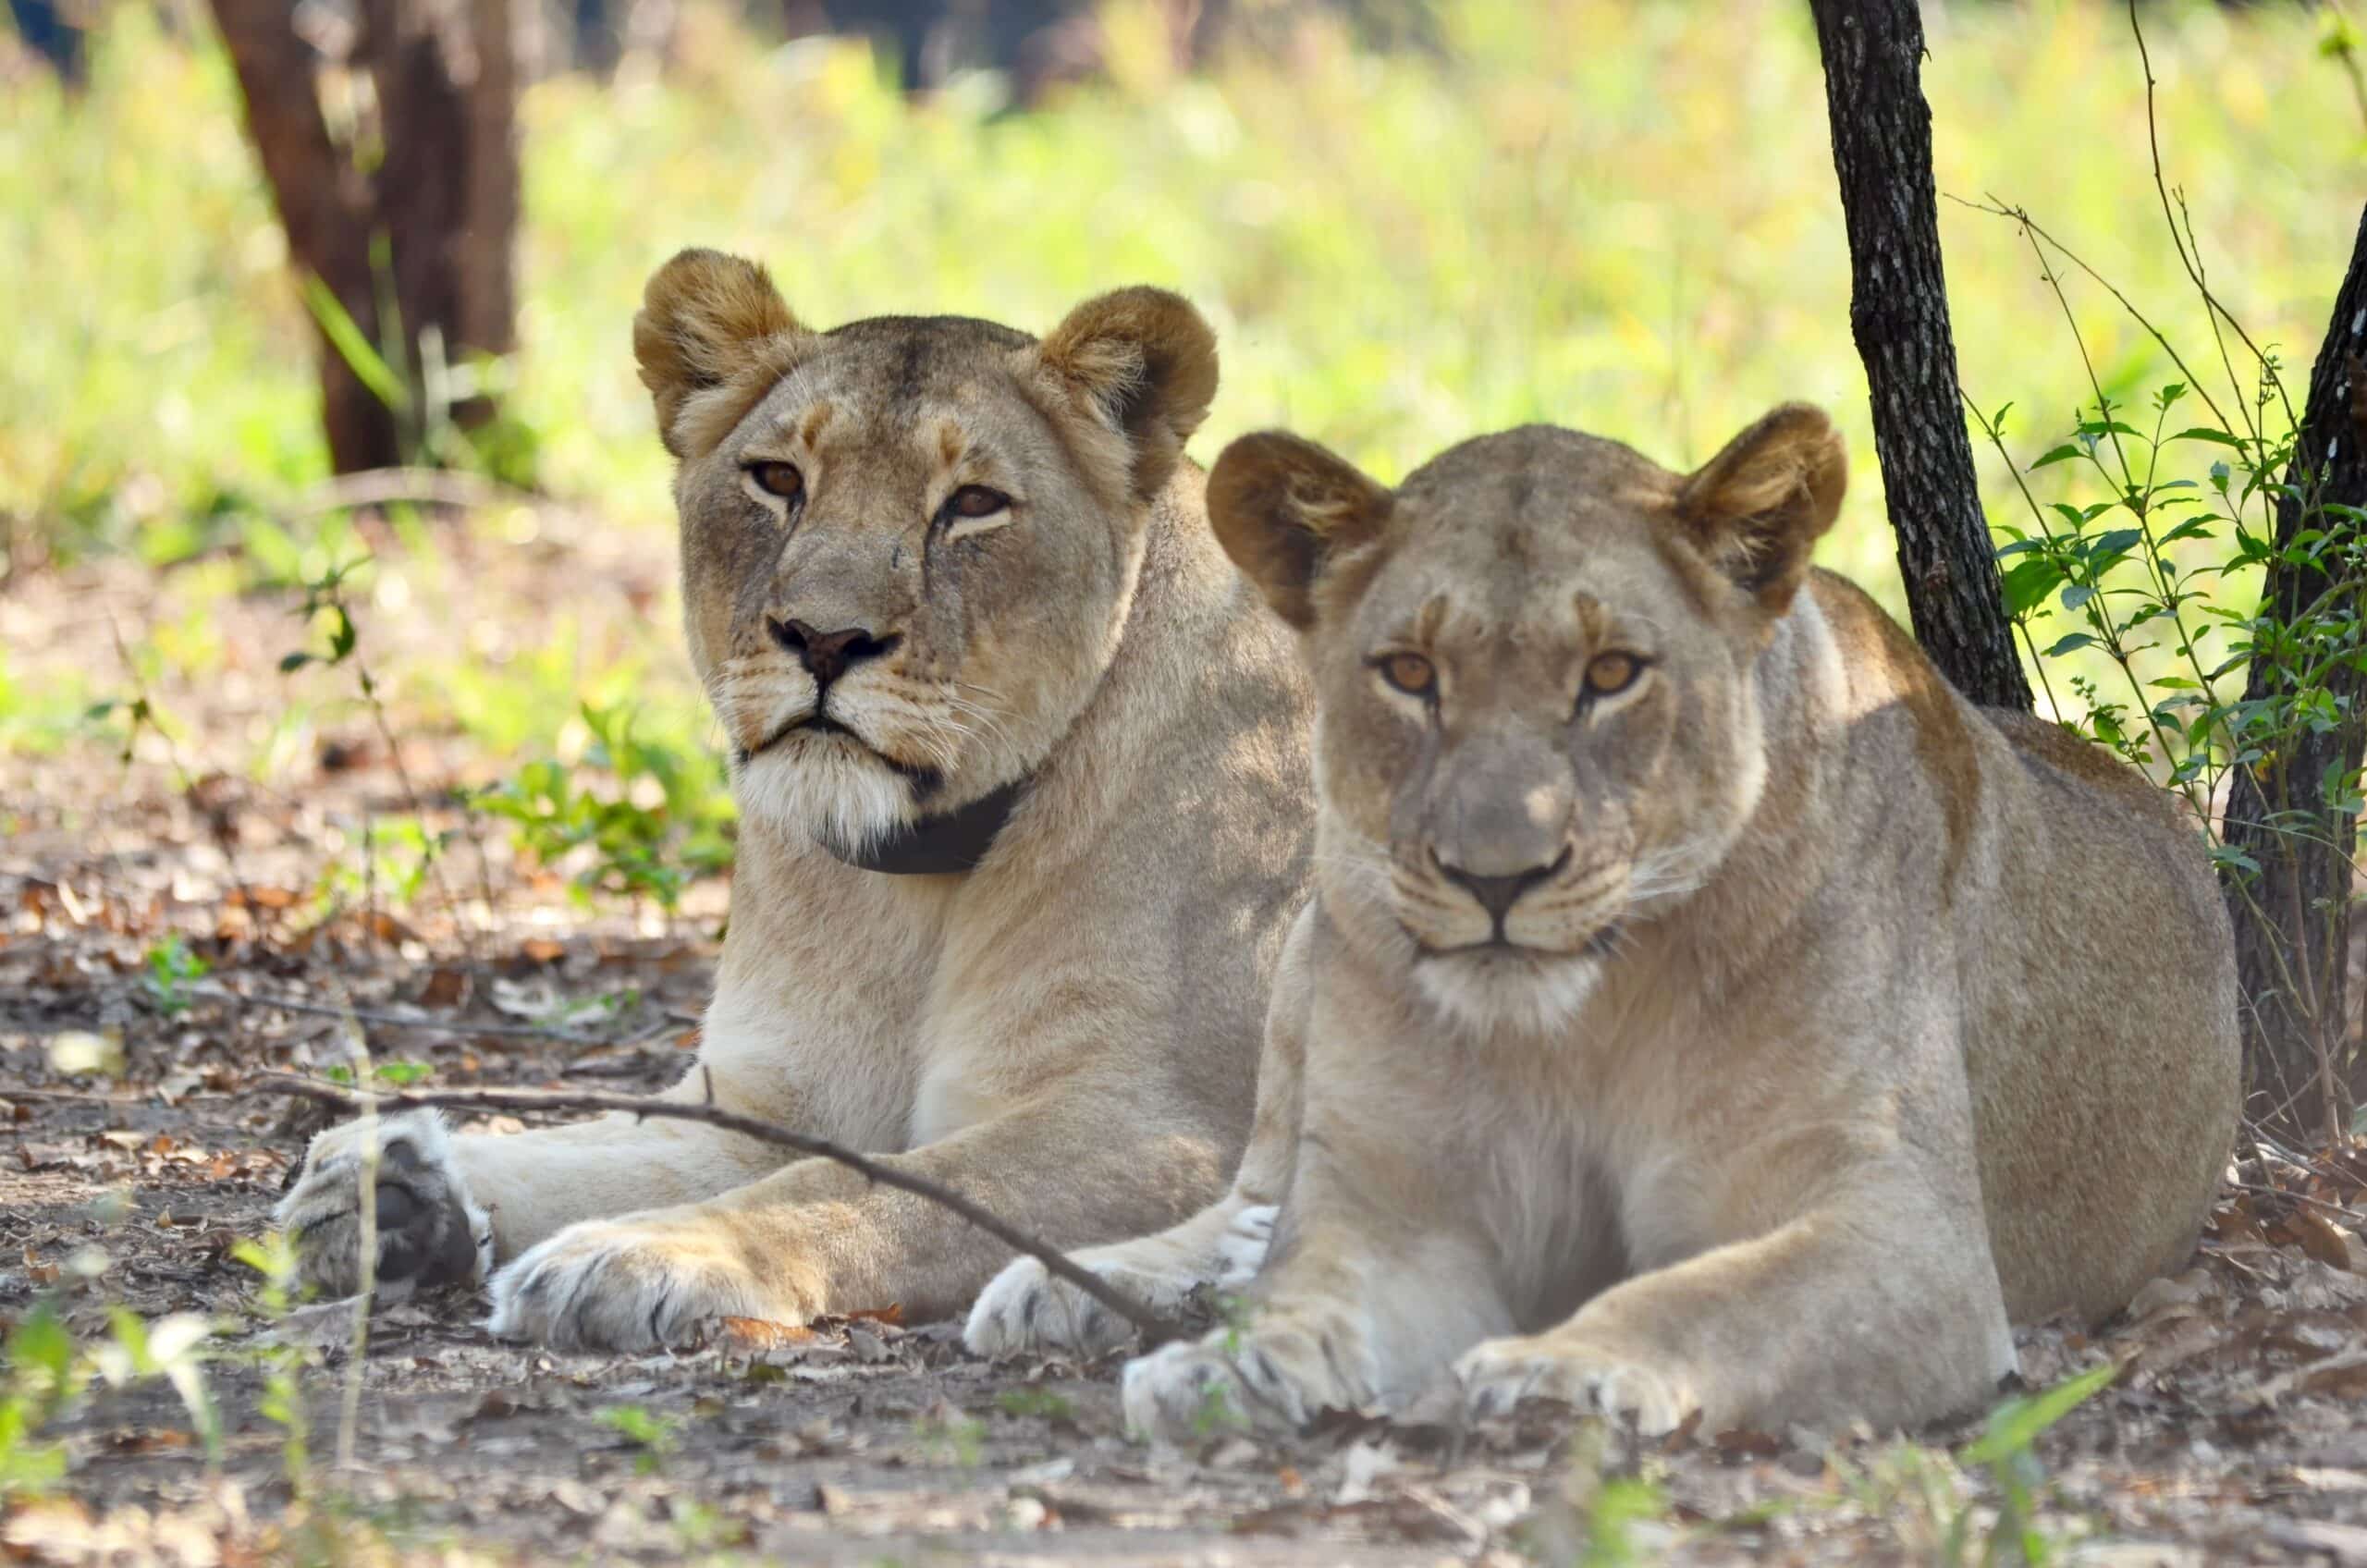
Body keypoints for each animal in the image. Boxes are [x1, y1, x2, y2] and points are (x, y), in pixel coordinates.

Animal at [274, 251, 1315, 1349]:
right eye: (777, 479)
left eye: (974, 504)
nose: (822, 638)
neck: (917, 878)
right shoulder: (773, 1097)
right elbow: (623, 1145)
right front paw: (373, 1191)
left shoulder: (1158, 1125)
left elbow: (867, 1193)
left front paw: (637, 1255)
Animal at [970, 407, 2240, 1441]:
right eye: (1410, 672)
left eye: (1614, 672)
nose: (1496, 875)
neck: (1586, 1019)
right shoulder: (1408, 1205)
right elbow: (1317, 1281)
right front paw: (1237, 1364)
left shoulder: (1902, 1228)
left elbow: (1705, 1298)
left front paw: (1555, 1370)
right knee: (1253, 1195)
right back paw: (1064, 1289)